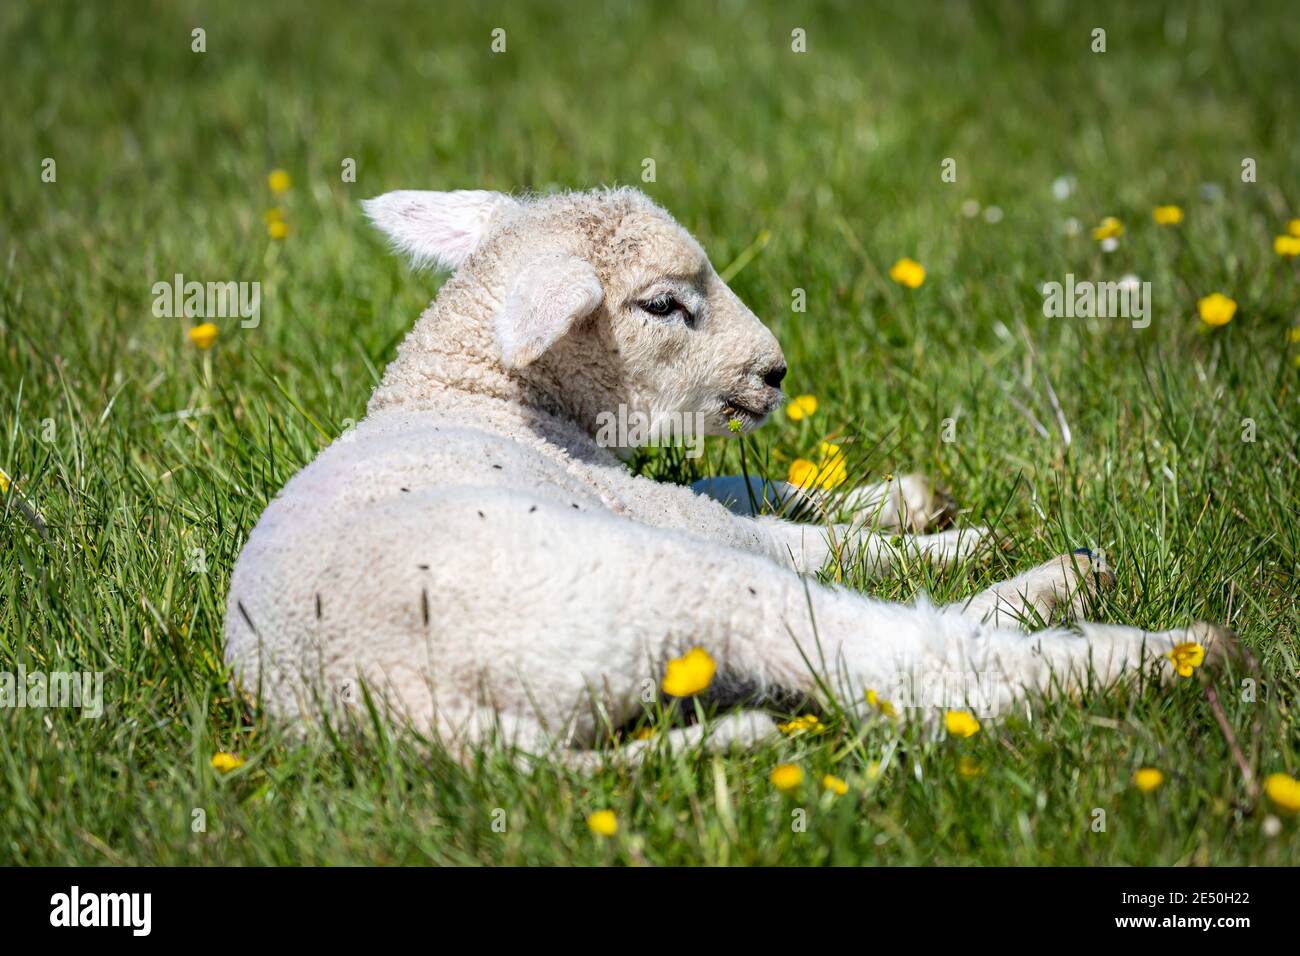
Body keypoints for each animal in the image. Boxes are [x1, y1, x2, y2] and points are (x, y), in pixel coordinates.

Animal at [223, 186, 1241, 763]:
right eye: (663, 305)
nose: (777, 372)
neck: (475, 391)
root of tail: (389, 702)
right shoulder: (644, 508)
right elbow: (804, 541)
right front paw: (937, 535)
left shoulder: (647, 488)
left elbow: (744, 485)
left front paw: (896, 498)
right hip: (635, 580)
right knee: (898, 661)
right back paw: (1132, 636)